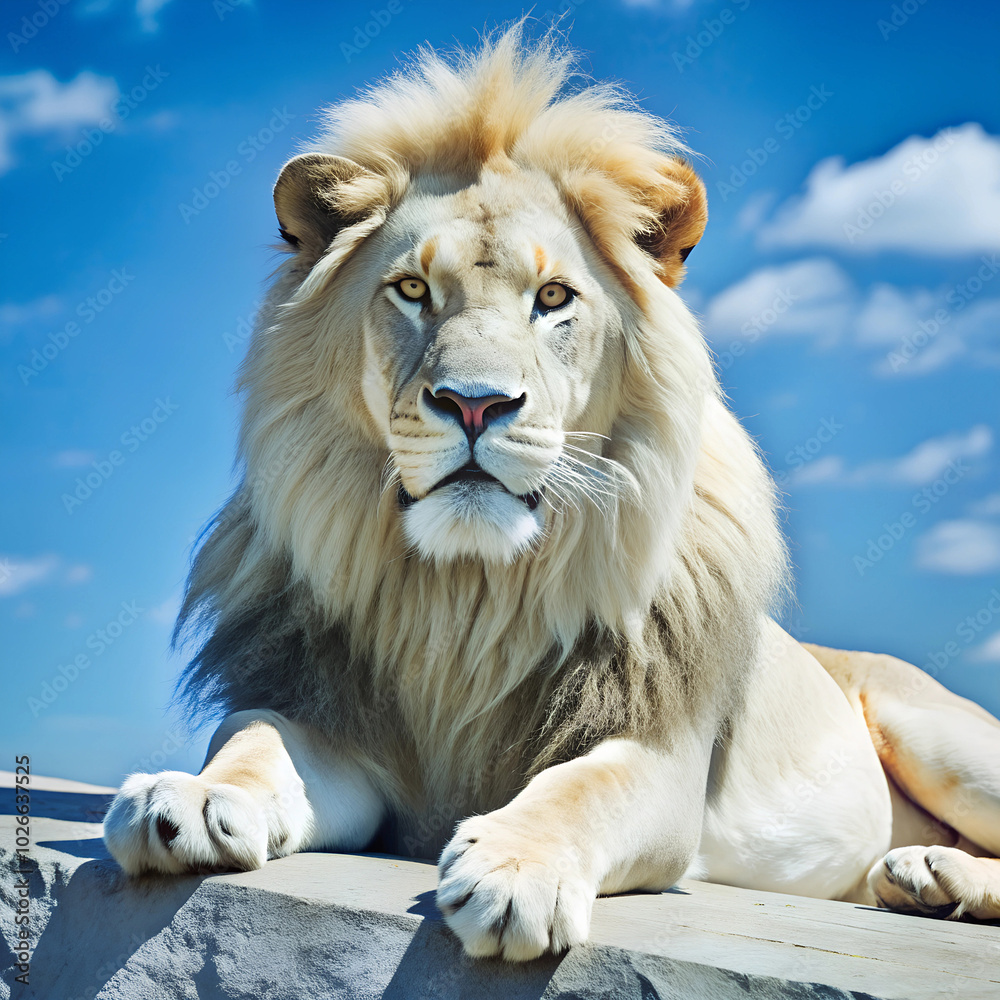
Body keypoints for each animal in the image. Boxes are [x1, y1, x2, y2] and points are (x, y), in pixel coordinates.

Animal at [103, 28, 1000, 960]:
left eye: (554, 298)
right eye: (413, 290)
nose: (474, 404)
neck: (467, 592)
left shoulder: (657, 756)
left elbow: (582, 788)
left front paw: (513, 871)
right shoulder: (338, 728)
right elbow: (254, 738)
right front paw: (194, 798)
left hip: (943, 741)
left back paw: (942, 874)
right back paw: (921, 876)